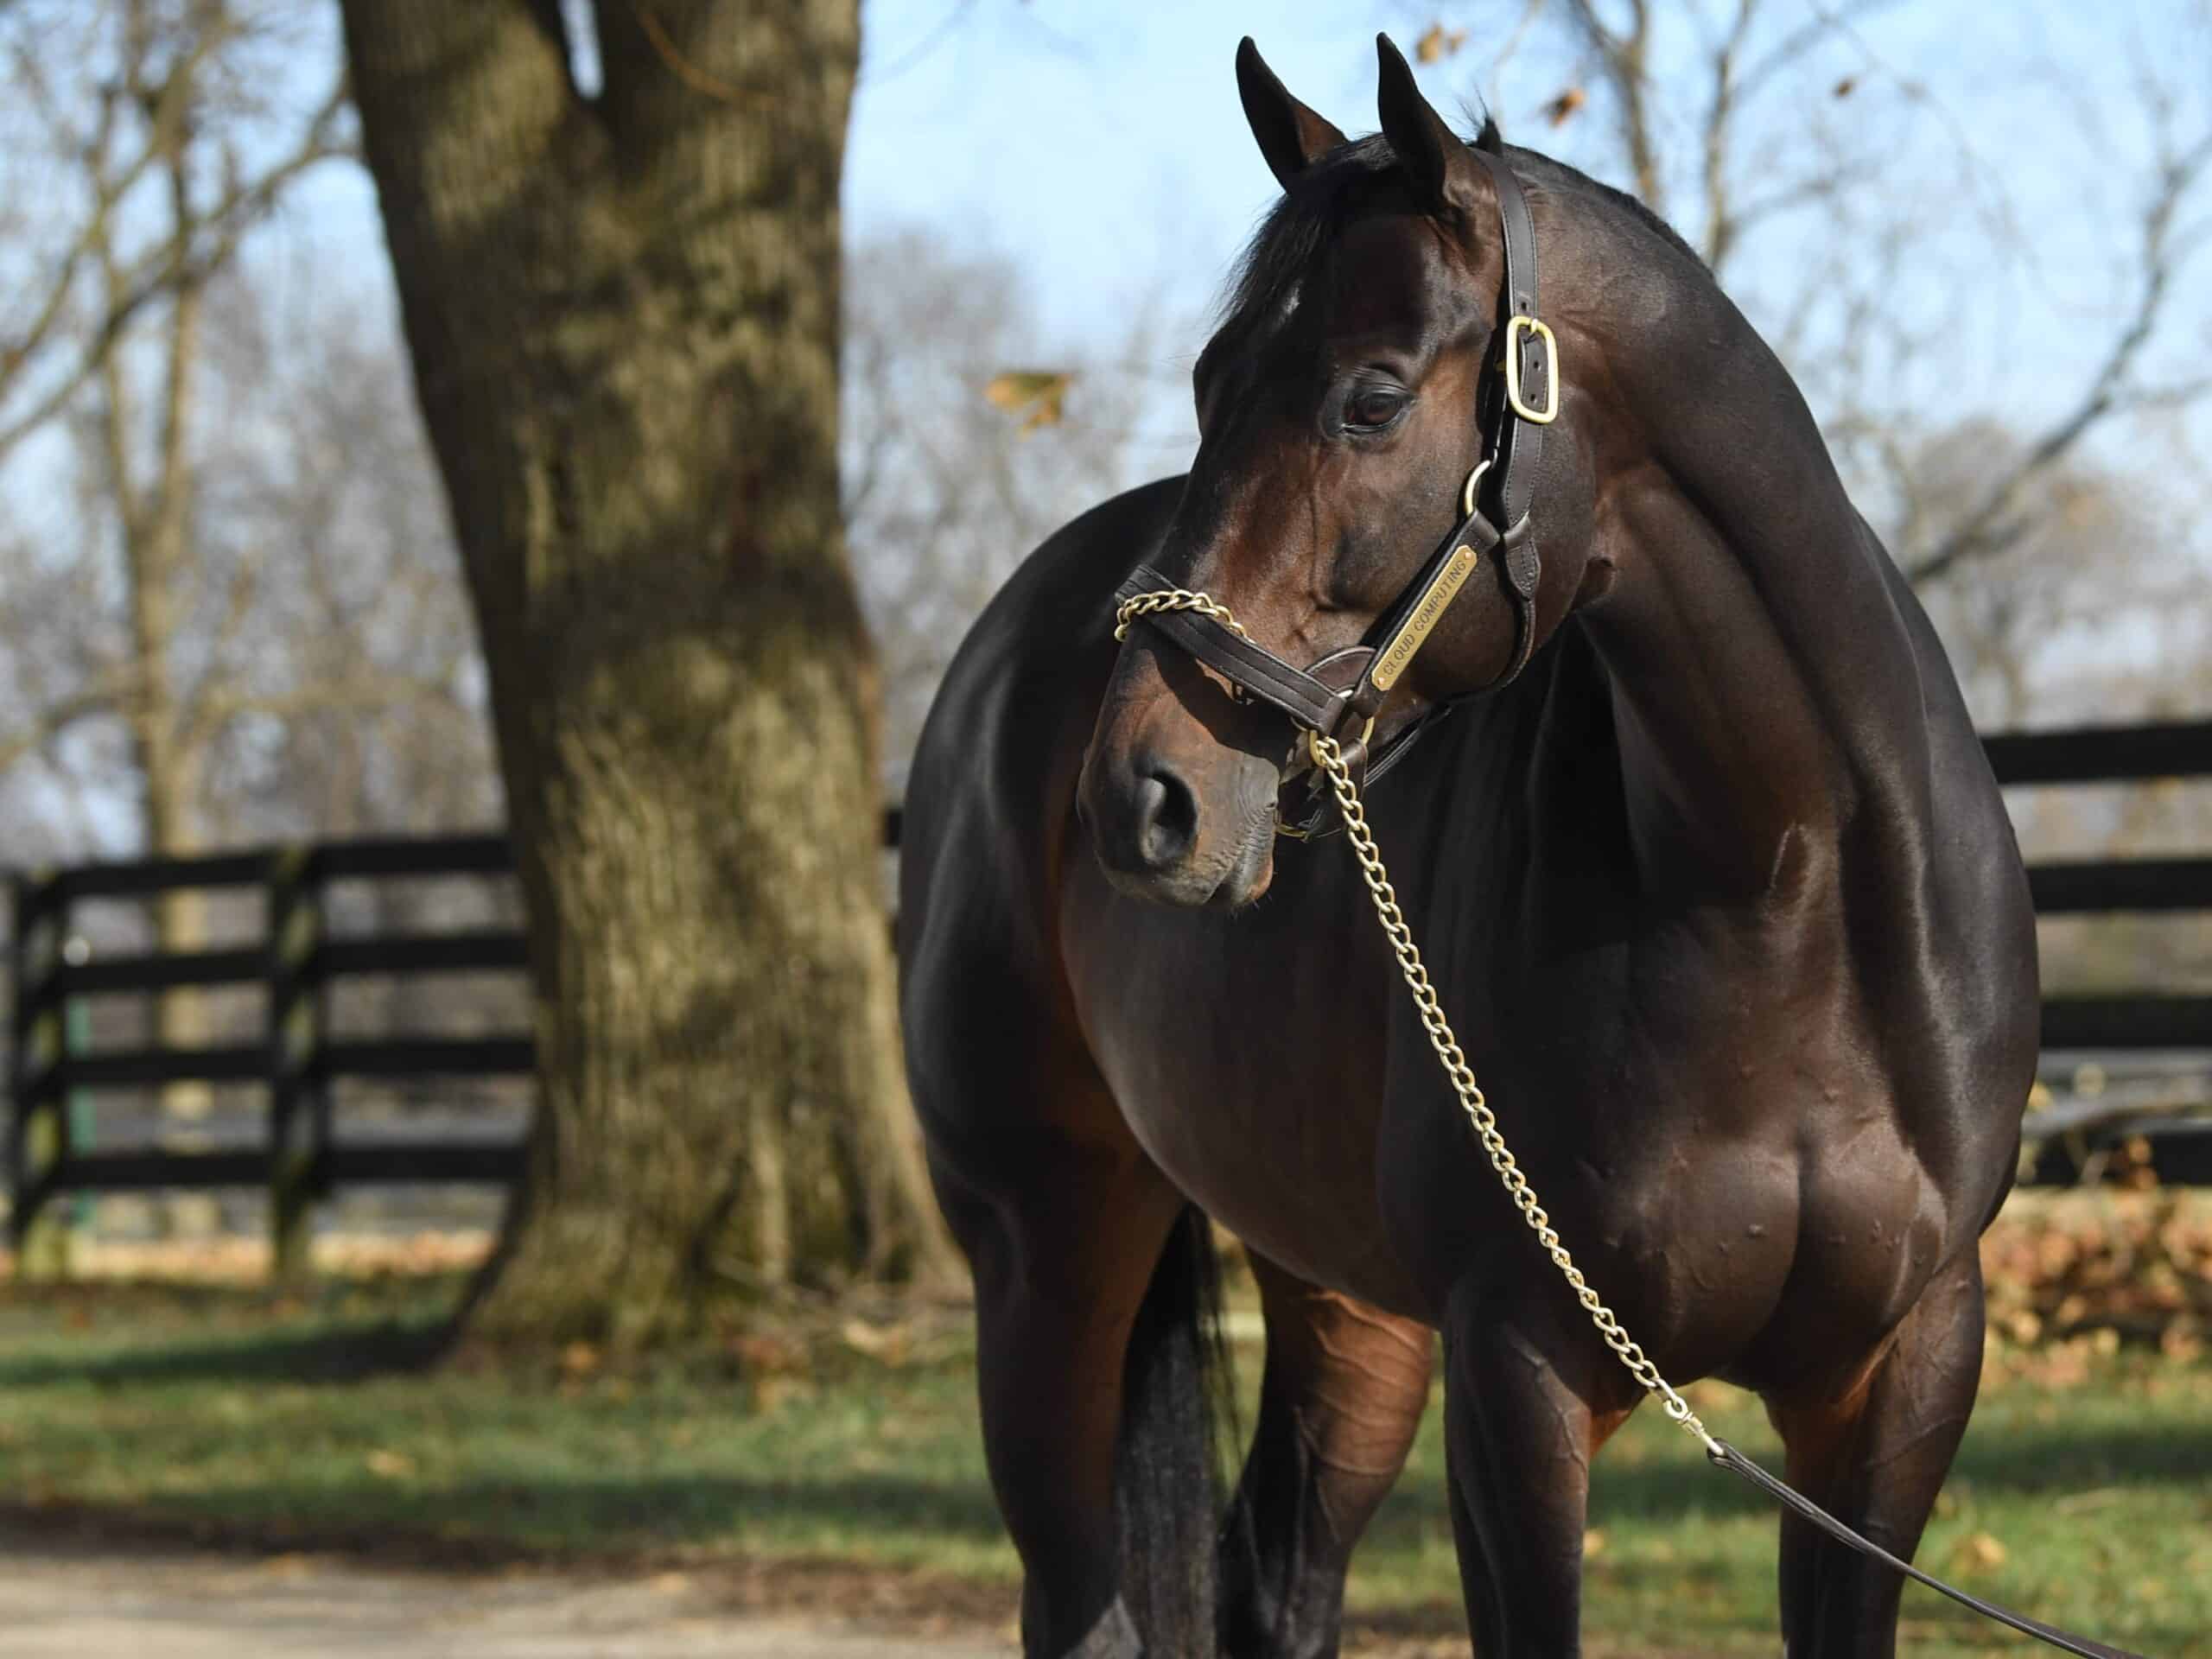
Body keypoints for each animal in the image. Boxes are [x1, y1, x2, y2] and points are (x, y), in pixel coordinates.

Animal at [897, 34, 2038, 1659]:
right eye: (1208, 383)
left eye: (1371, 400)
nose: (1142, 796)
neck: (1786, 887)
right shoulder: (1520, 1370)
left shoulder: (1894, 1385)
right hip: (1042, 1258)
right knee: (1083, 1594)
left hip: (1345, 1305)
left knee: (1278, 1572)